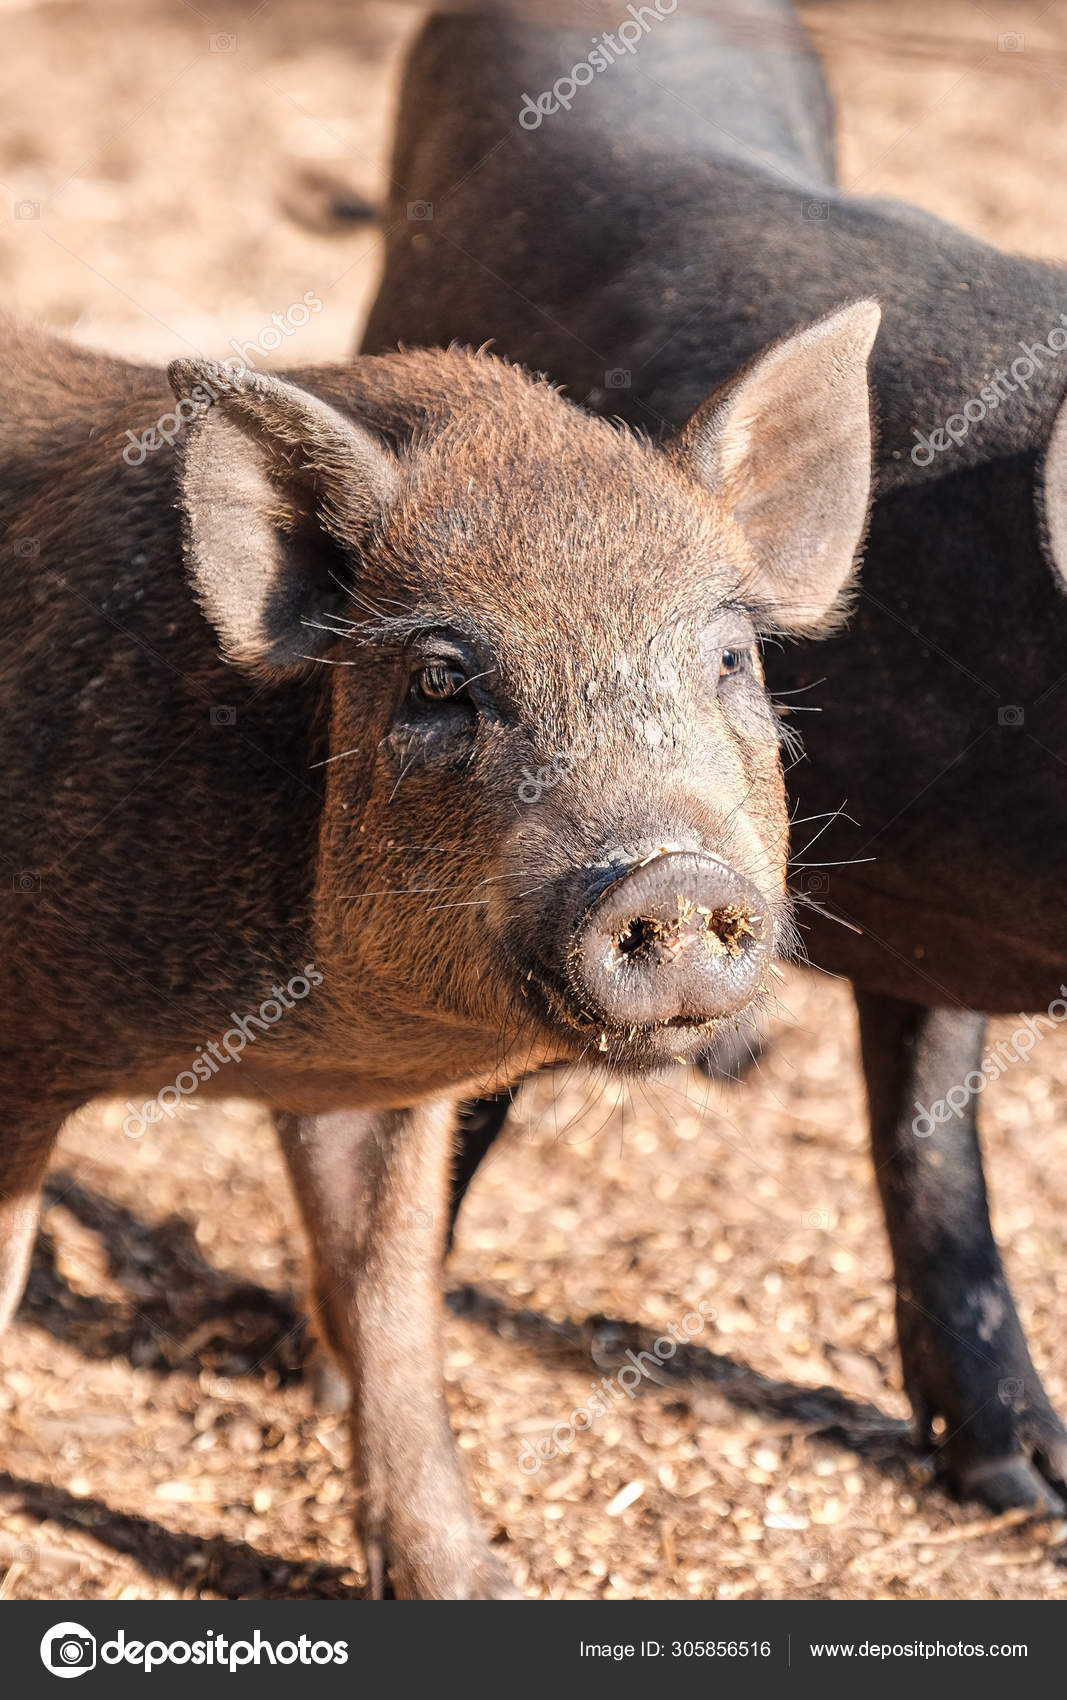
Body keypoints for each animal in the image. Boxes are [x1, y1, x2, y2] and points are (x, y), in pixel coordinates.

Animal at [0, 306, 877, 1596]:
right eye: (439, 676)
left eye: (727, 659)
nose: (670, 875)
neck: (297, 1042)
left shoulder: (375, 1096)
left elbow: (389, 1298)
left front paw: (471, 1581)